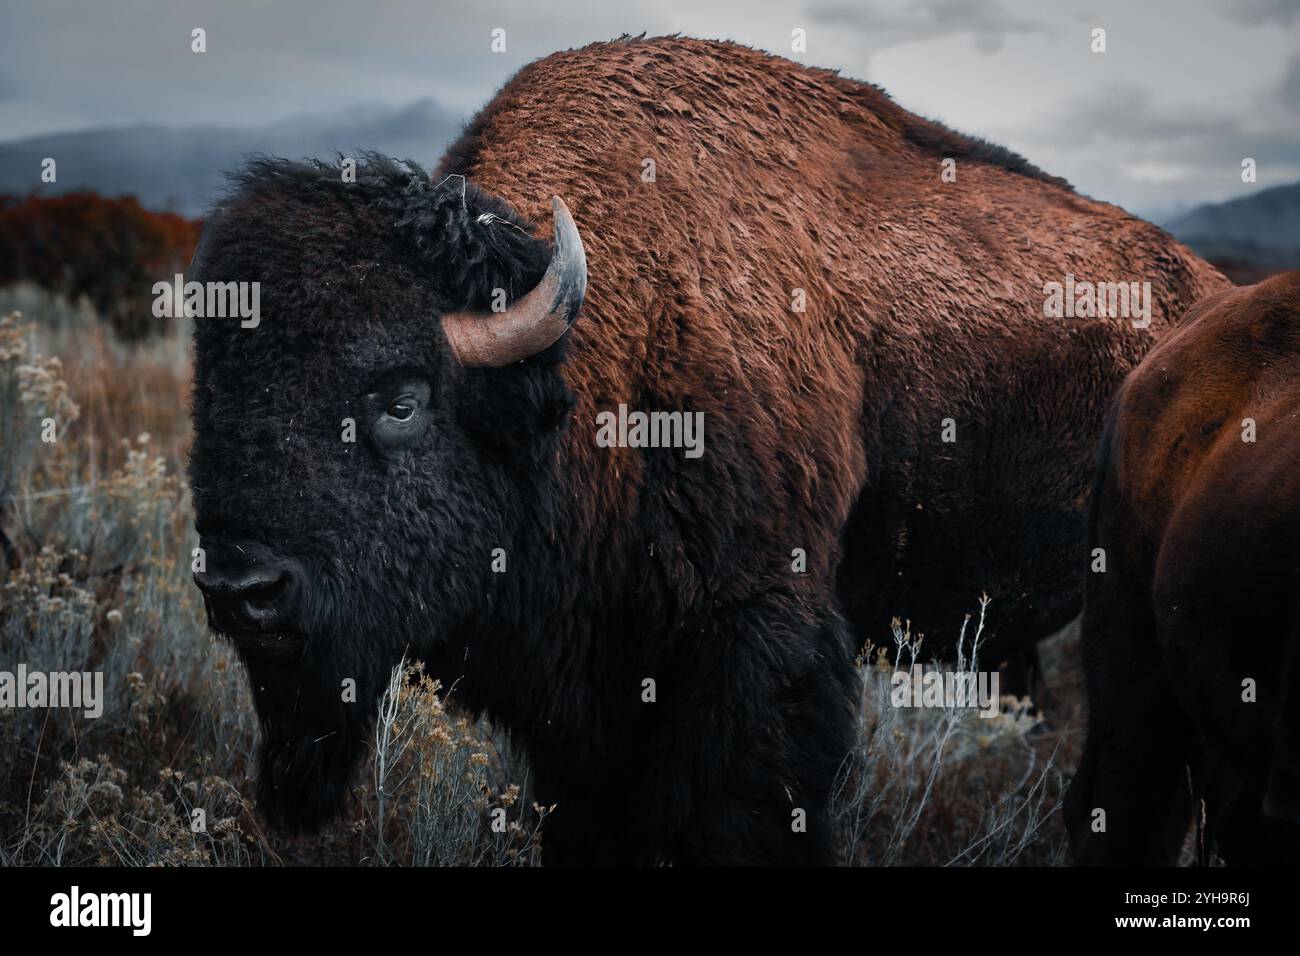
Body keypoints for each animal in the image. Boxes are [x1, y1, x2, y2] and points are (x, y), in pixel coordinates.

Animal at [188, 36, 1225, 864]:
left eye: (402, 399)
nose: (245, 590)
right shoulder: (583, 698)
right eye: (211, 394)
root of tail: (1208, 291)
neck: (598, 349)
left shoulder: (754, 640)